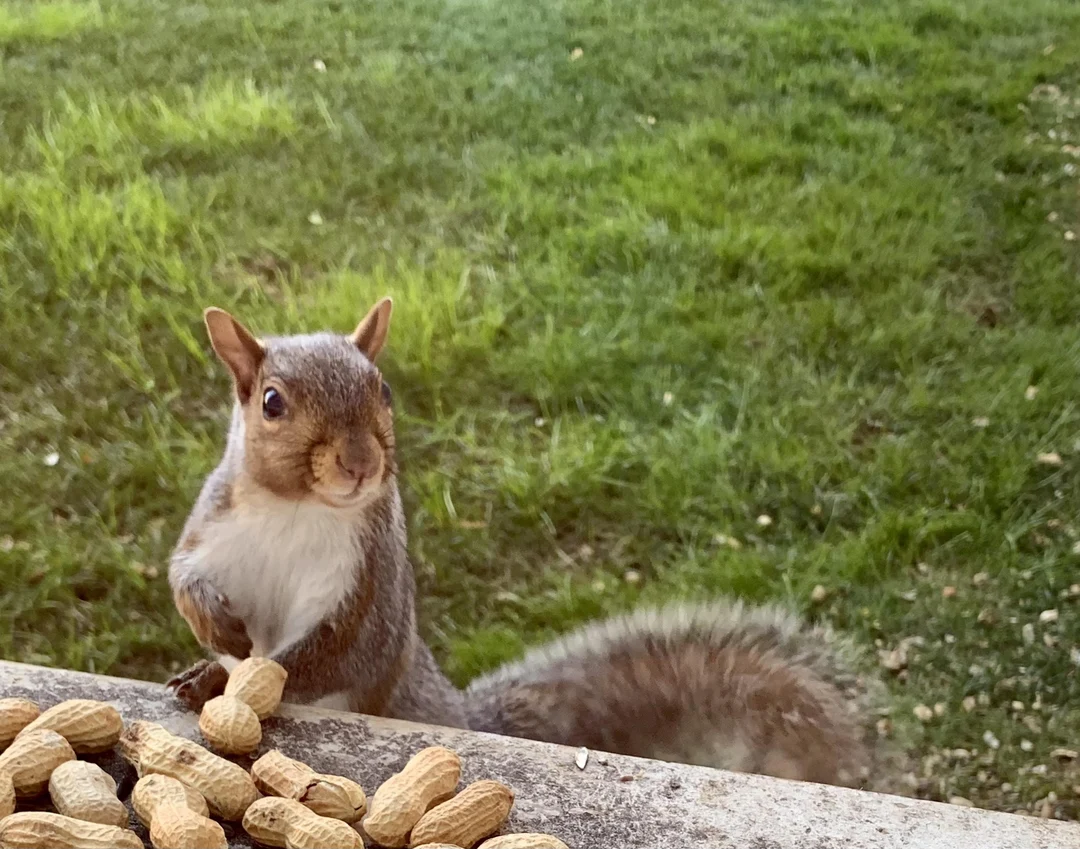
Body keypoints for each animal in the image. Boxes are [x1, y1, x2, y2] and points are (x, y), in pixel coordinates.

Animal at [166, 297, 889, 789]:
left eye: (385, 388)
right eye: (272, 402)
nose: (359, 462)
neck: (295, 509)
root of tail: (450, 710)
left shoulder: (366, 583)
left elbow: (328, 654)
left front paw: (236, 677)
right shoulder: (217, 530)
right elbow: (183, 576)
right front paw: (212, 638)